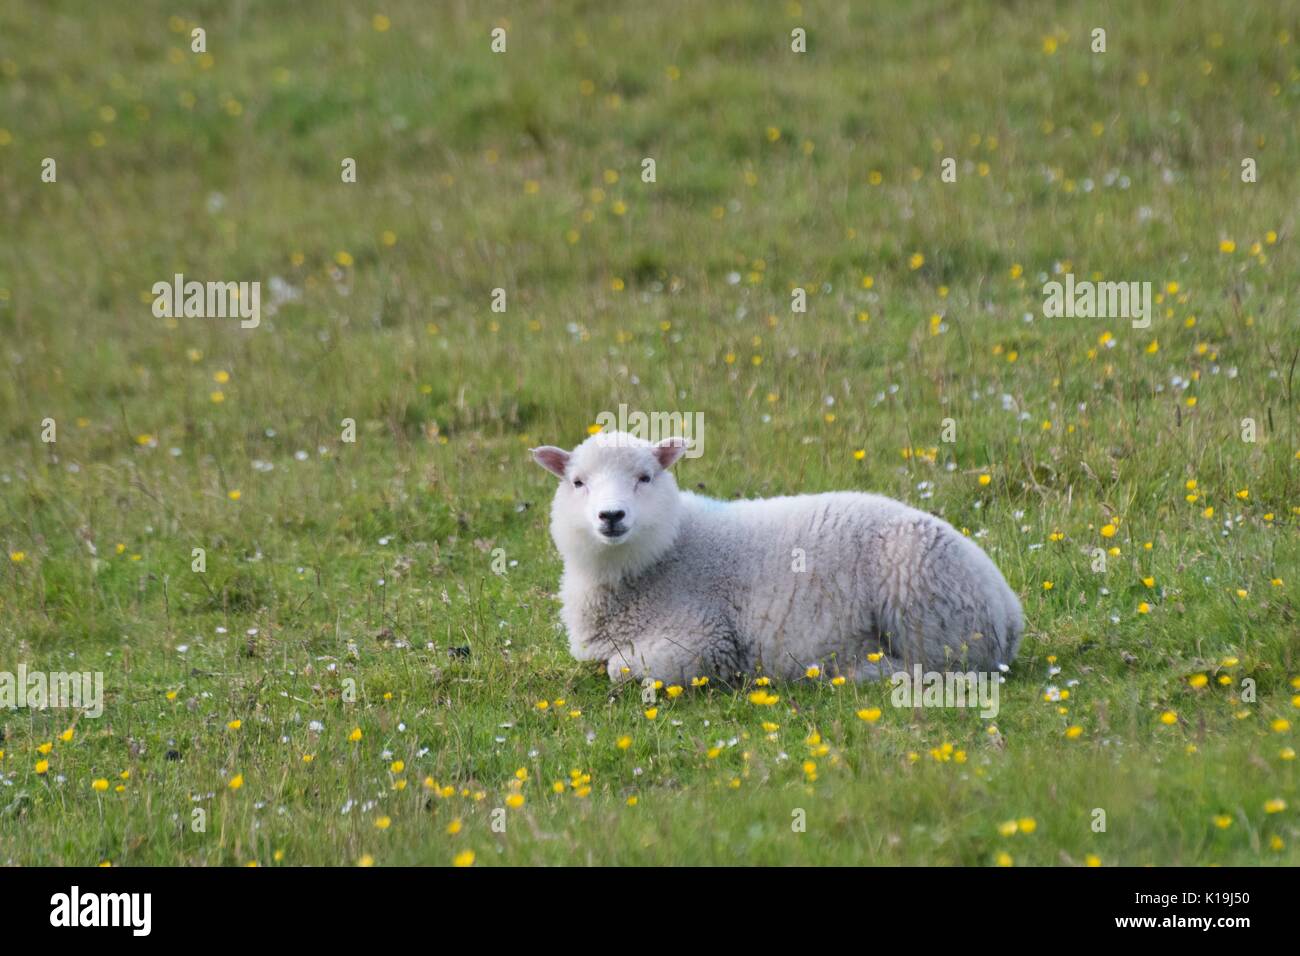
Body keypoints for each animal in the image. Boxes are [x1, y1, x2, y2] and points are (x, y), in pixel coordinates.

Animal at [531, 431, 1024, 685]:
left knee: (937, 669)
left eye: (645, 477)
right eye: (577, 483)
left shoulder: (704, 638)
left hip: (929, 615)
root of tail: (1009, 607)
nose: (611, 516)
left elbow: (620, 669)